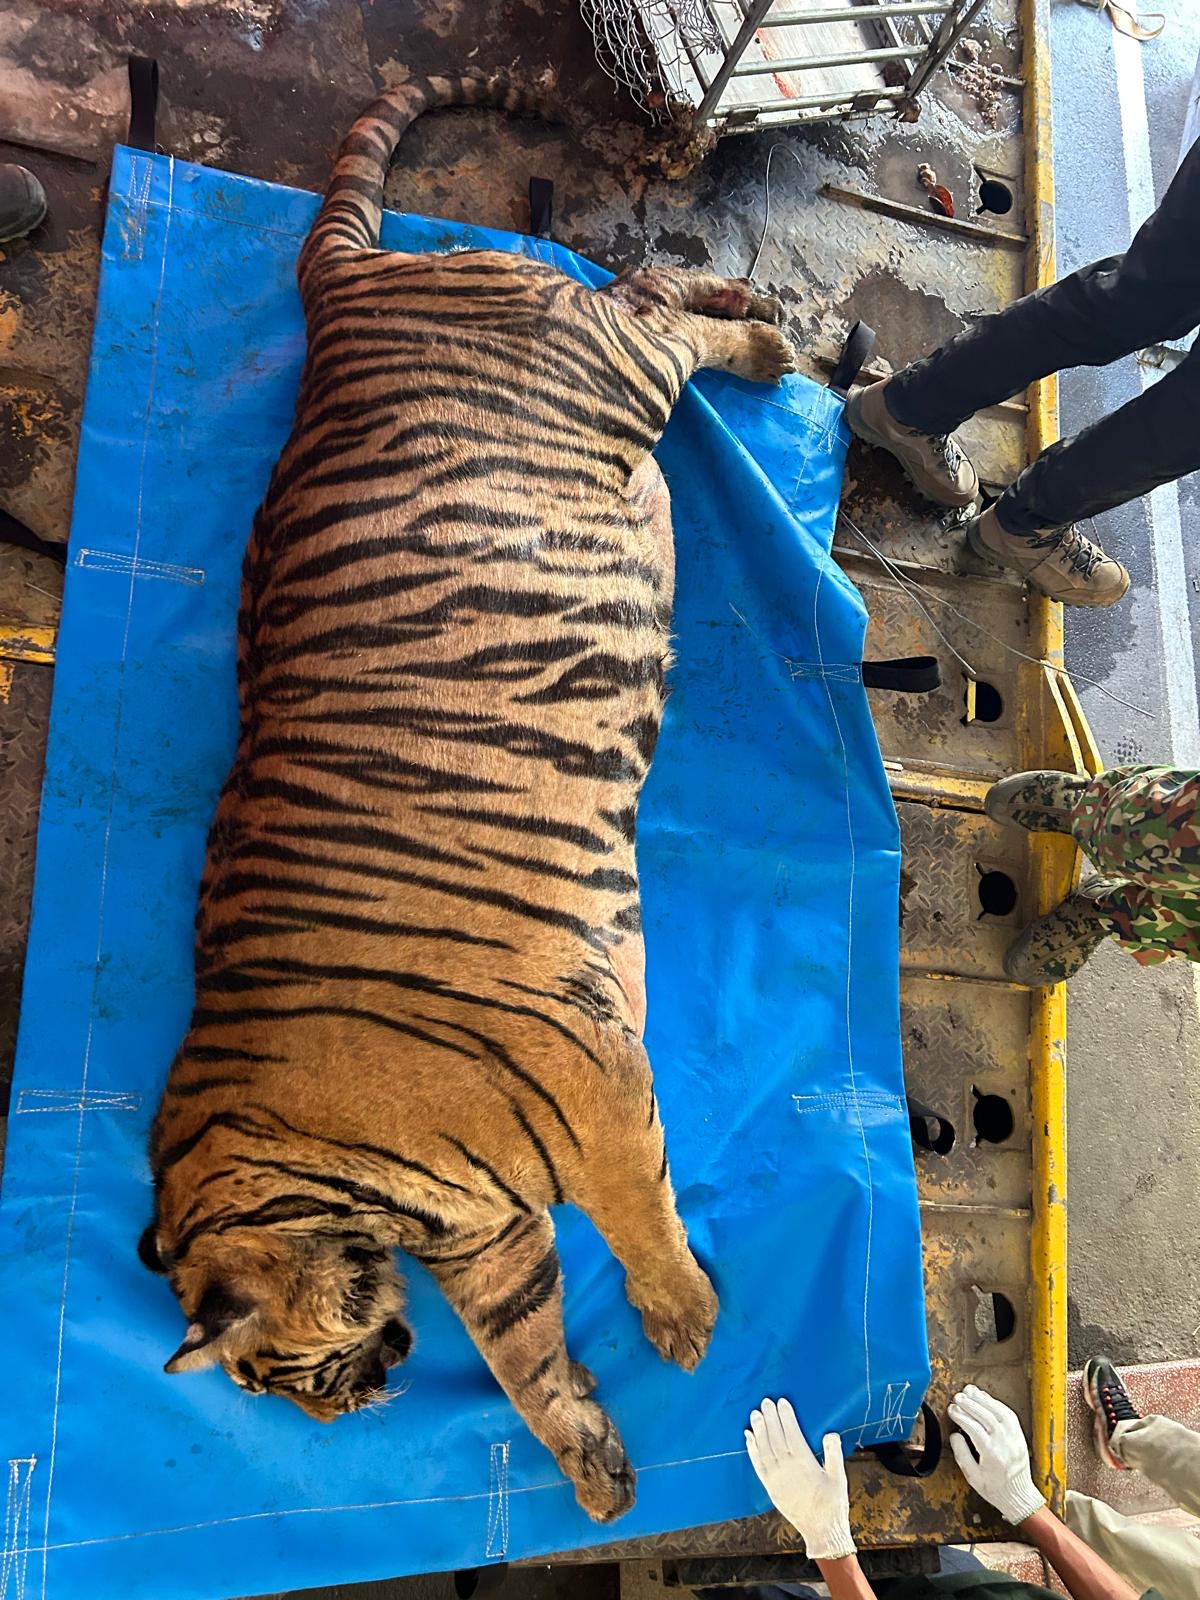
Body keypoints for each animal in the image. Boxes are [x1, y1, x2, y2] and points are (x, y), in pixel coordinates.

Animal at [139, 70, 796, 1523]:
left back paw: (770, 347)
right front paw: (596, 1470)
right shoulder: (492, 1235)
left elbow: (640, 1211)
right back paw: (759, 317)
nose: (369, 1388)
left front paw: (681, 1319)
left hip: (601, 373)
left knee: (649, 308)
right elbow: (522, 1353)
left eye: (289, 1376)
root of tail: (340, 283)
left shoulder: (596, 1079)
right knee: (641, 280)